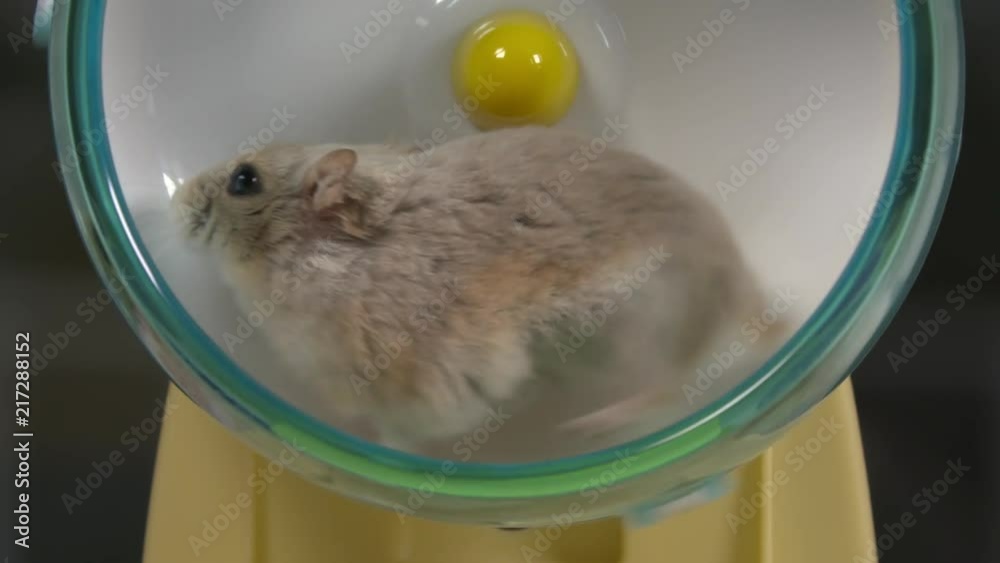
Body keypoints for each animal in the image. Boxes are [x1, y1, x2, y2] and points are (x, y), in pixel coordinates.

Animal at [170, 126, 789, 451]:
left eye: (244, 179)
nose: (177, 198)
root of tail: (737, 277)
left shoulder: (418, 384)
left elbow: (395, 429)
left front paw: (362, 440)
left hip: (634, 327)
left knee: (664, 393)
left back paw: (589, 430)